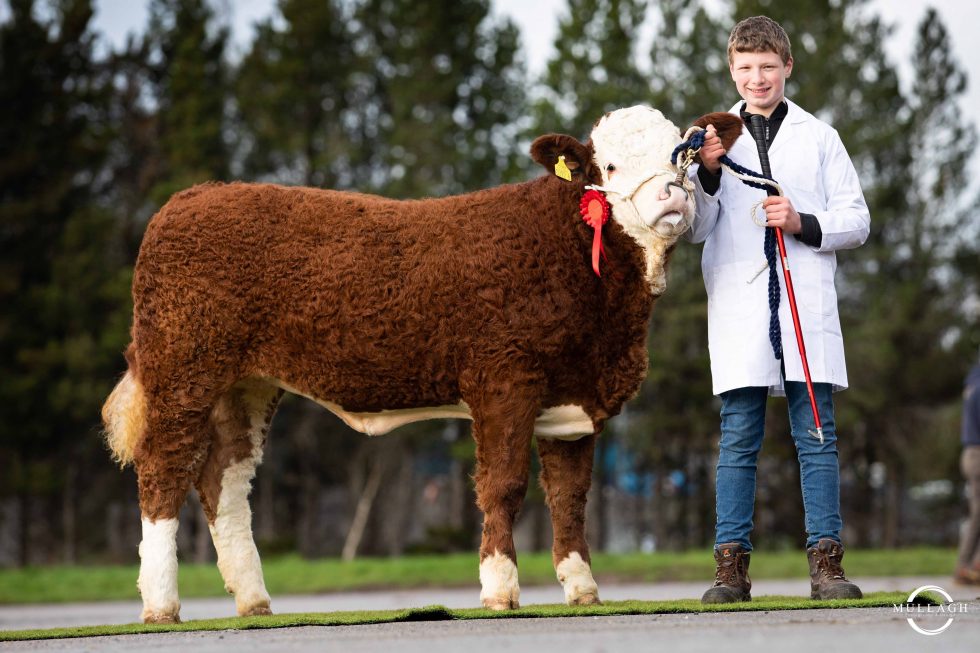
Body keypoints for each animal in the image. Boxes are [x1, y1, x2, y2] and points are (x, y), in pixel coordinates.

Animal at [102, 106, 742, 623]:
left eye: (683, 154)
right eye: (606, 166)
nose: (671, 197)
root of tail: (191, 198)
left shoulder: (574, 397)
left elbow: (570, 495)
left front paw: (582, 590)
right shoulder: (503, 378)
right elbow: (504, 485)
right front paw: (500, 590)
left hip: (246, 385)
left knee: (225, 481)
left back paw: (254, 601)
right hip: (182, 370)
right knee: (163, 472)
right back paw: (161, 605)